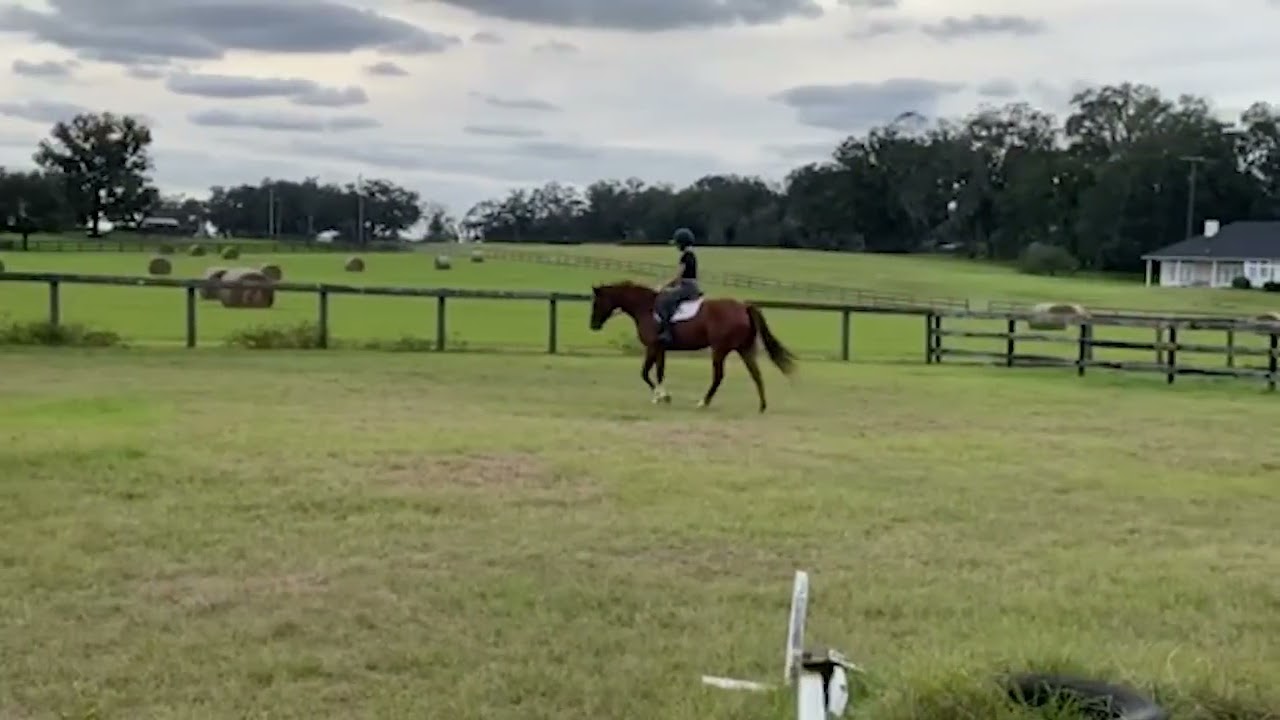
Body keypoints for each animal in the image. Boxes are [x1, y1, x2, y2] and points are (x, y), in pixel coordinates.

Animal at [588, 281, 797, 412]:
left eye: (596, 302)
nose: (593, 326)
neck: (646, 308)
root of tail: (743, 307)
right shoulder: (661, 349)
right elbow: (659, 372)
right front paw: (662, 396)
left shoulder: (653, 347)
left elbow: (645, 373)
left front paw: (661, 396)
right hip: (744, 349)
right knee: (756, 374)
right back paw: (762, 406)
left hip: (719, 350)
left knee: (718, 376)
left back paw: (703, 402)